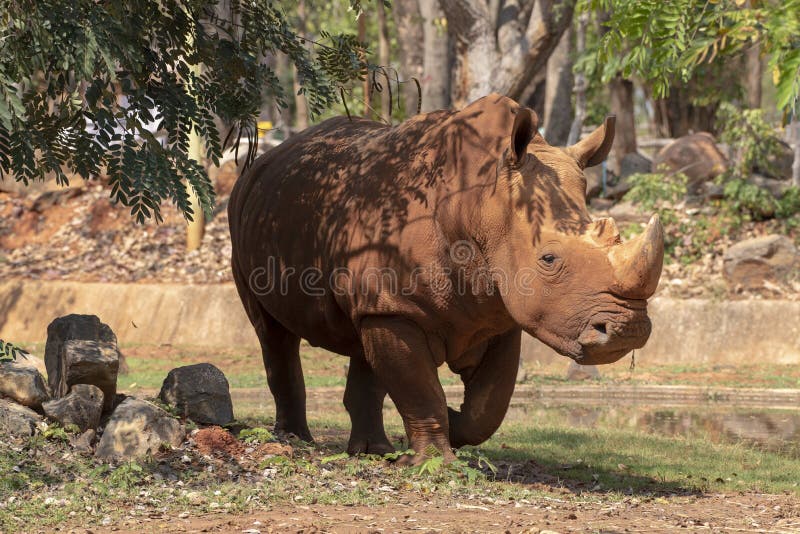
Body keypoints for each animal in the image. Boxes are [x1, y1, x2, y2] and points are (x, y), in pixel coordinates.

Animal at [228, 94, 663, 464]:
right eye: (549, 258)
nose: (627, 330)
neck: (483, 202)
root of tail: (264, 161)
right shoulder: (401, 308)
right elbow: (421, 390)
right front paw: (435, 461)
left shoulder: (501, 310)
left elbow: (490, 404)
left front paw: (454, 424)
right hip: (243, 216)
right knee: (274, 333)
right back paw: (296, 441)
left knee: (362, 334)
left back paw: (373, 452)